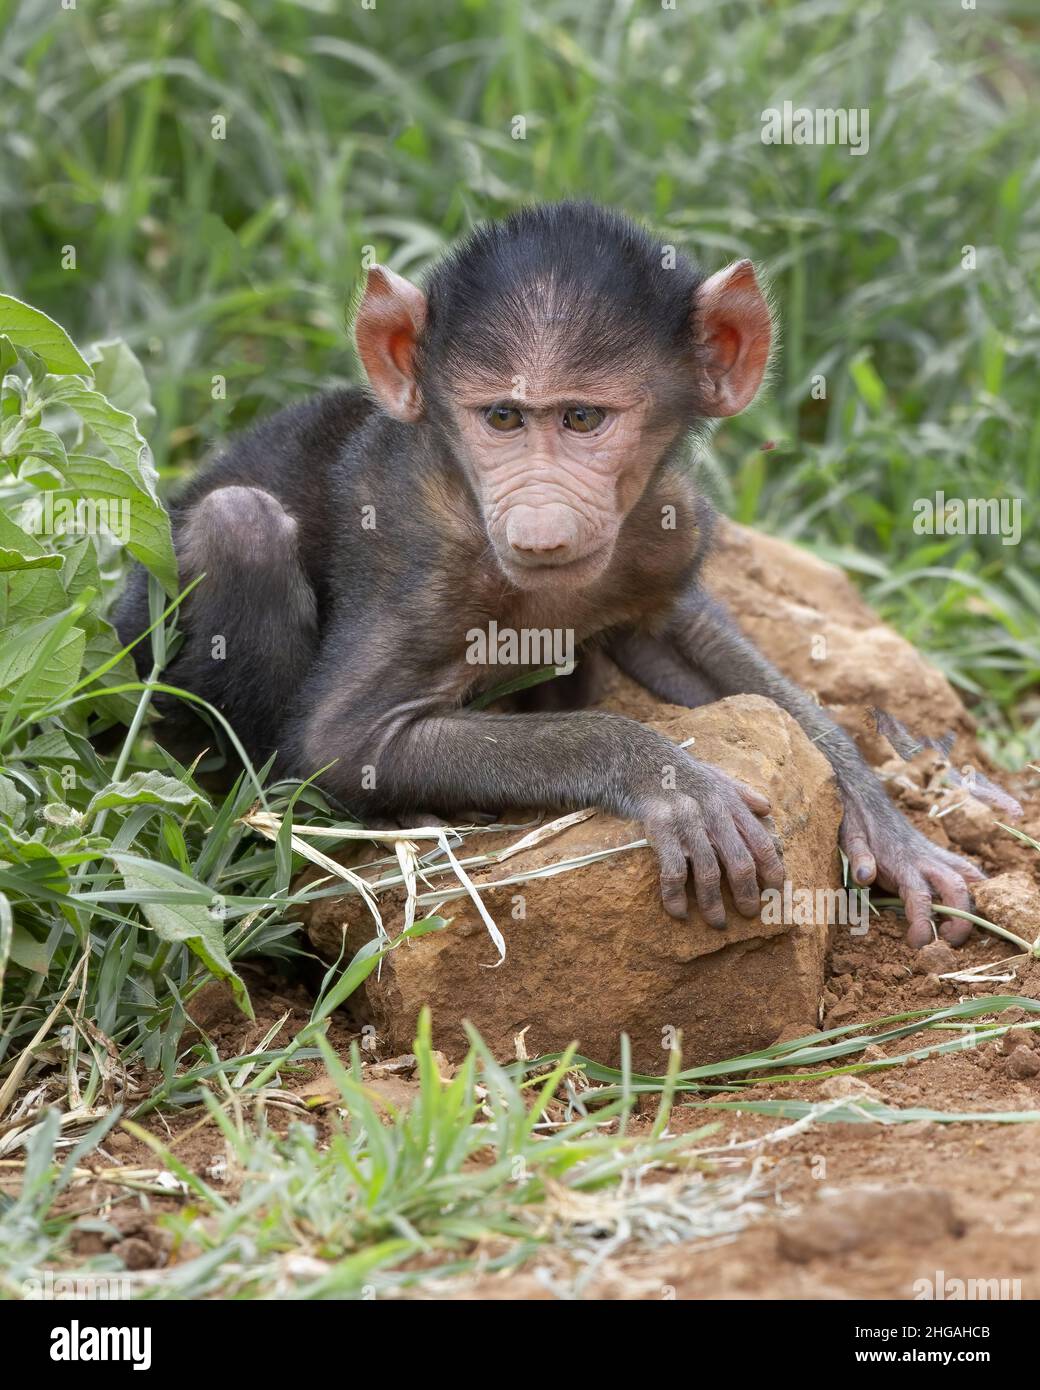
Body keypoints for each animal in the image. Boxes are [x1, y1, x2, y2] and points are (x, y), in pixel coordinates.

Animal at [115, 201, 982, 949]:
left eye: (582, 419)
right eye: (502, 418)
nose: (538, 528)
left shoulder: (664, 528)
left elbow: (697, 644)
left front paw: (884, 820)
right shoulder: (417, 544)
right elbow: (341, 739)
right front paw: (664, 776)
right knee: (239, 525)